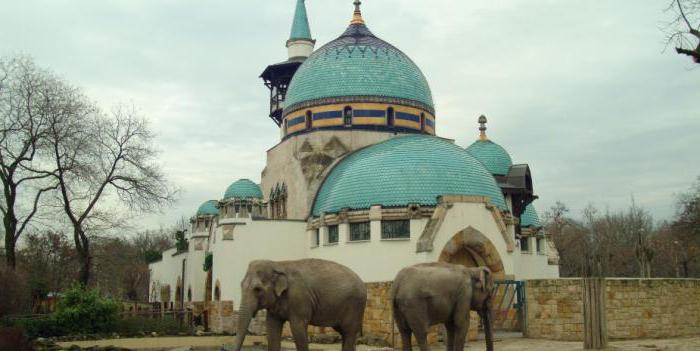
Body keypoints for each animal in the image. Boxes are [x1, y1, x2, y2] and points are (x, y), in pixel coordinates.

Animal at [232, 258, 370, 351]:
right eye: (241, 285)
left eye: (257, 289)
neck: (278, 264)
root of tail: (363, 284)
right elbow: (272, 328)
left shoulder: (299, 298)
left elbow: (298, 328)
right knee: (345, 333)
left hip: (355, 305)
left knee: (349, 332)